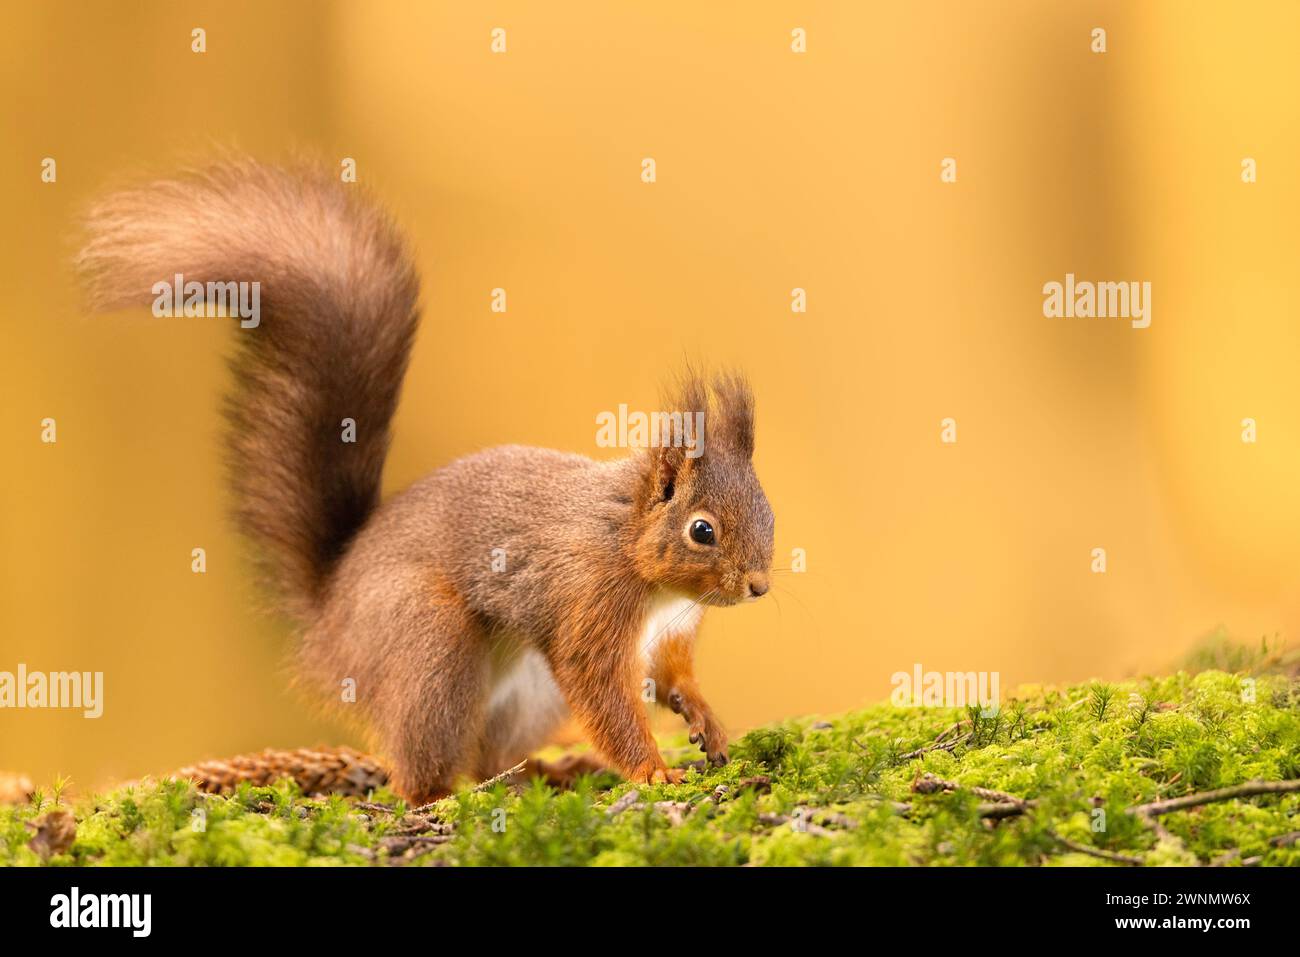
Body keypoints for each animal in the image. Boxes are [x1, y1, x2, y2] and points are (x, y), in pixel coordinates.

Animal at [77, 158, 776, 803]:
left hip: (526, 694)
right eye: (703, 531)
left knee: (491, 756)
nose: (760, 586)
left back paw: (538, 774)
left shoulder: (668, 631)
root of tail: (330, 626)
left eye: (770, 513)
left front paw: (706, 720)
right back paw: (440, 795)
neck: (632, 544)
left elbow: (673, 675)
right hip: (428, 644)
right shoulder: (588, 600)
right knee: (418, 768)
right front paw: (651, 769)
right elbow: (603, 691)